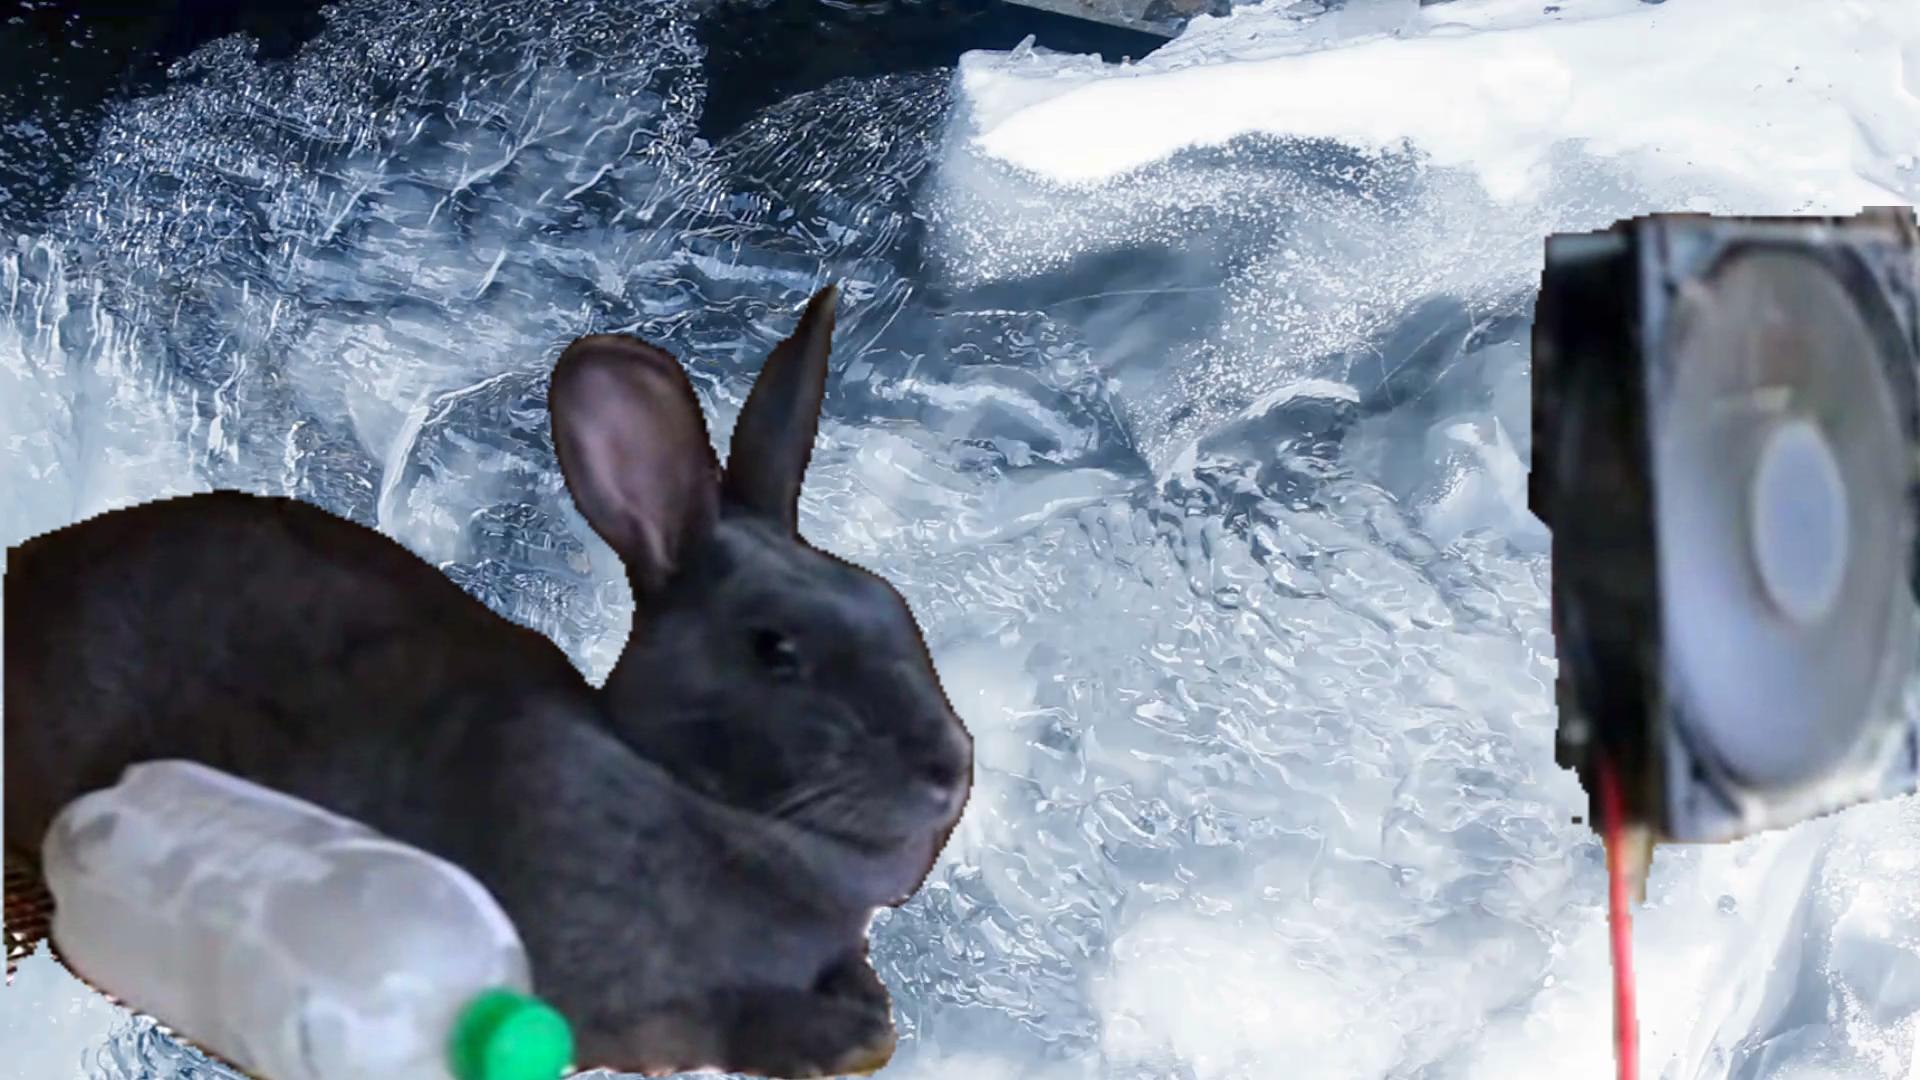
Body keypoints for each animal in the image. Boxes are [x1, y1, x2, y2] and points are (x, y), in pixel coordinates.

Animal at [3, 283, 974, 1077]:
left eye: (892, 607)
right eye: (774, 649)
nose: (950, 771)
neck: (680, 790)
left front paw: (867, 1001)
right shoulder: (617, 995)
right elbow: (715, 1020)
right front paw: (851, 1039)